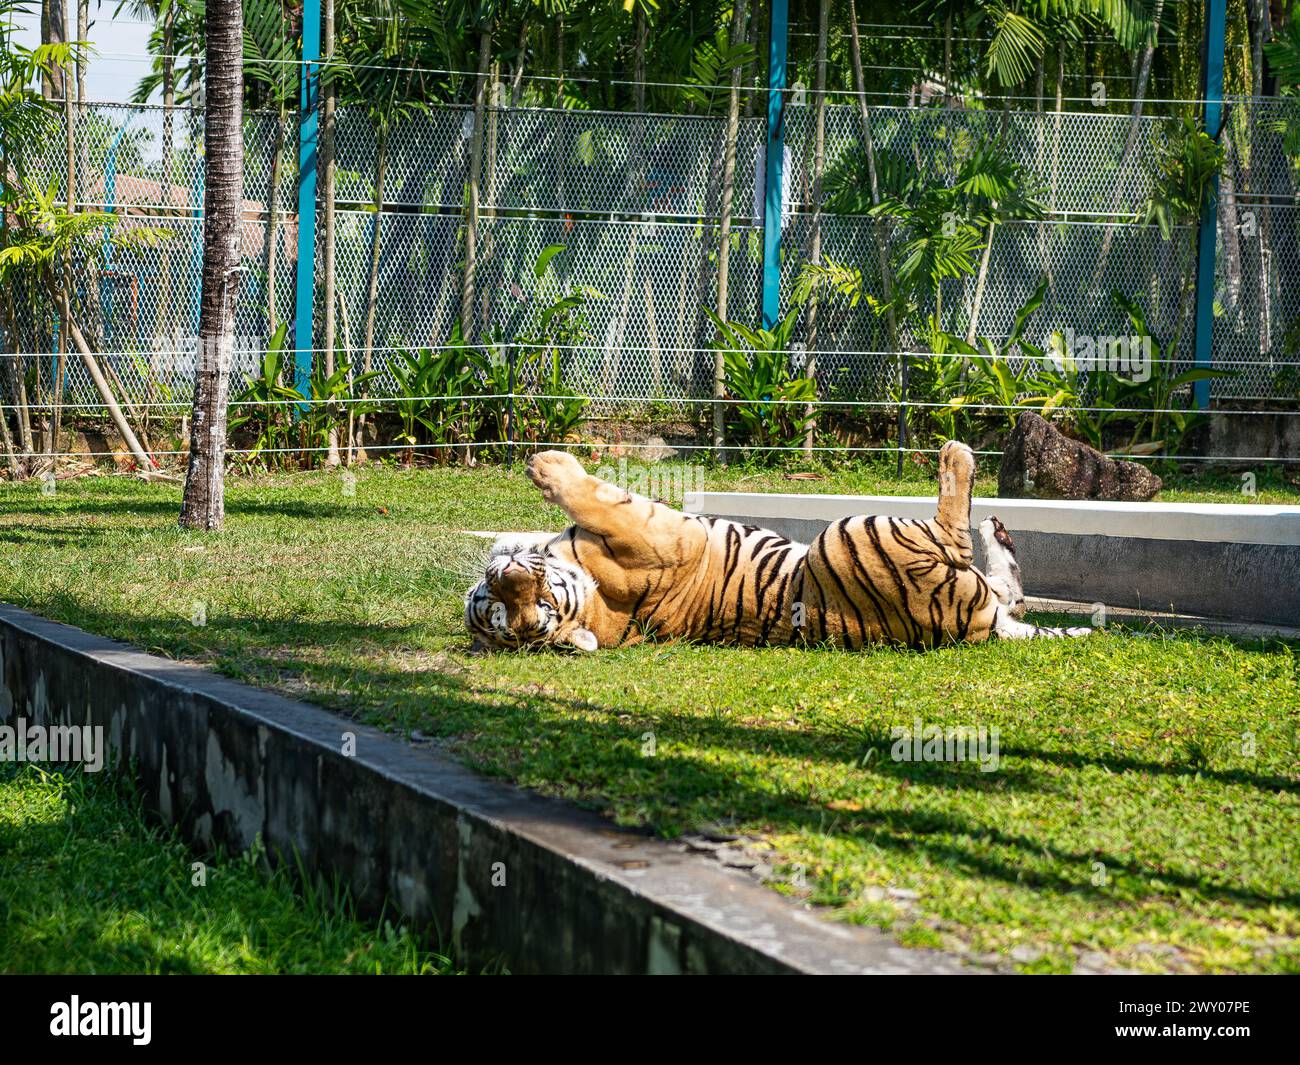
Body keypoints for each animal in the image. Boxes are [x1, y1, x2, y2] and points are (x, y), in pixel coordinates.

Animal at [464, 441, 1094, 653]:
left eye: (533, 603)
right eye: (512, 611)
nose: (508, 577)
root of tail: (980, 628)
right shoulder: (654, 532)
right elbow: (597, 495)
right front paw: (547, 465)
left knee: (1009, 590)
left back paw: (1000, 528)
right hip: (853, 533)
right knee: (957, 538)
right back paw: (958, 455)